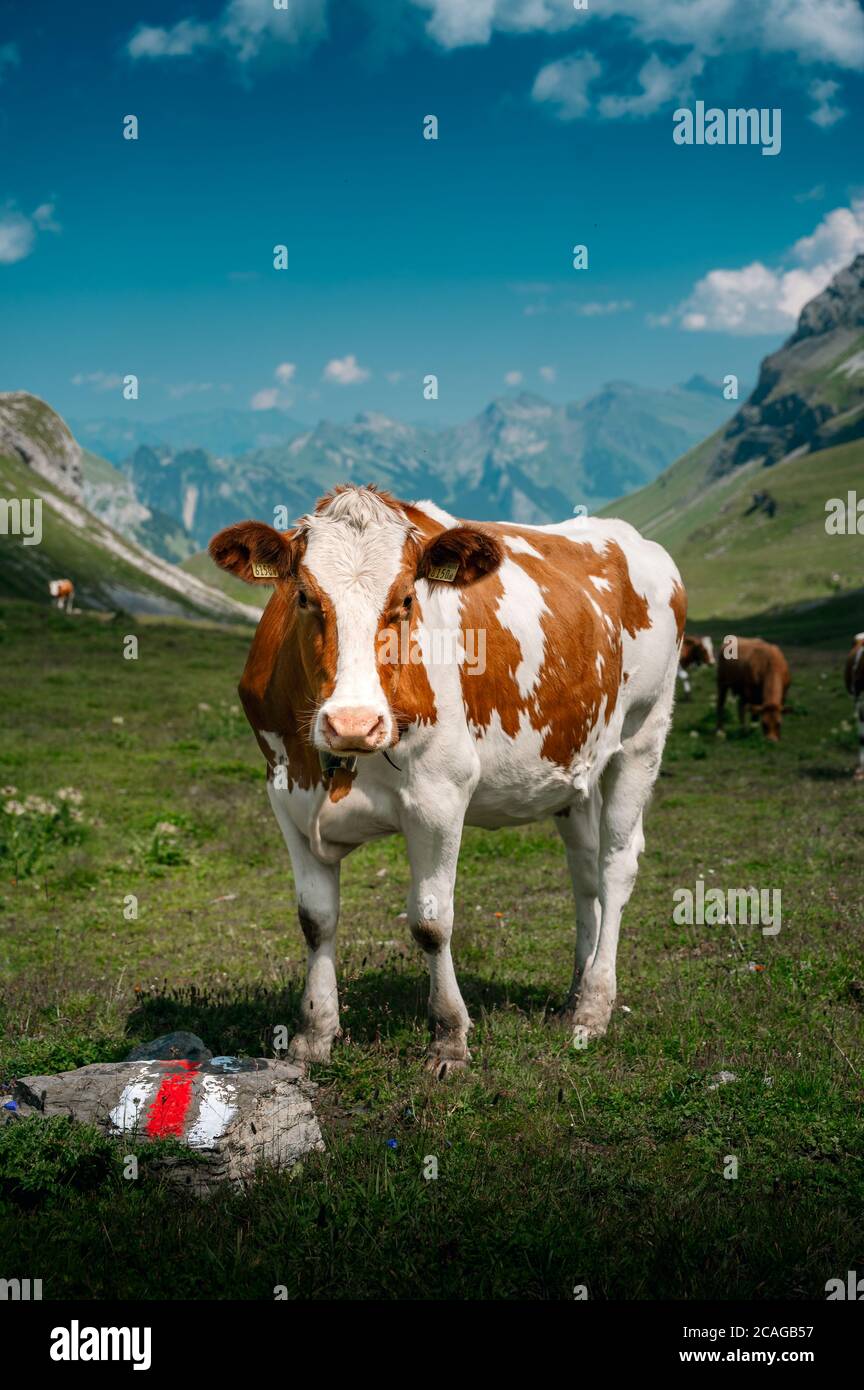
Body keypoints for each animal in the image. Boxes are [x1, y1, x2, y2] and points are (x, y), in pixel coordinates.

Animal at [209, 486, 686, 1074]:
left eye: (406, 601)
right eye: (303, 597)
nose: (353, 723)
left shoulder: (439, 795)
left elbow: (431, 922)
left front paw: (449, 1037)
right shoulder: (287, 796)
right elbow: (315, 919)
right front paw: (314, 1034)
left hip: (644, 734)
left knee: (617, 866)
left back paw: (593, 1009)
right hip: (574, 768)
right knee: (586, 873)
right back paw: (575, 994)